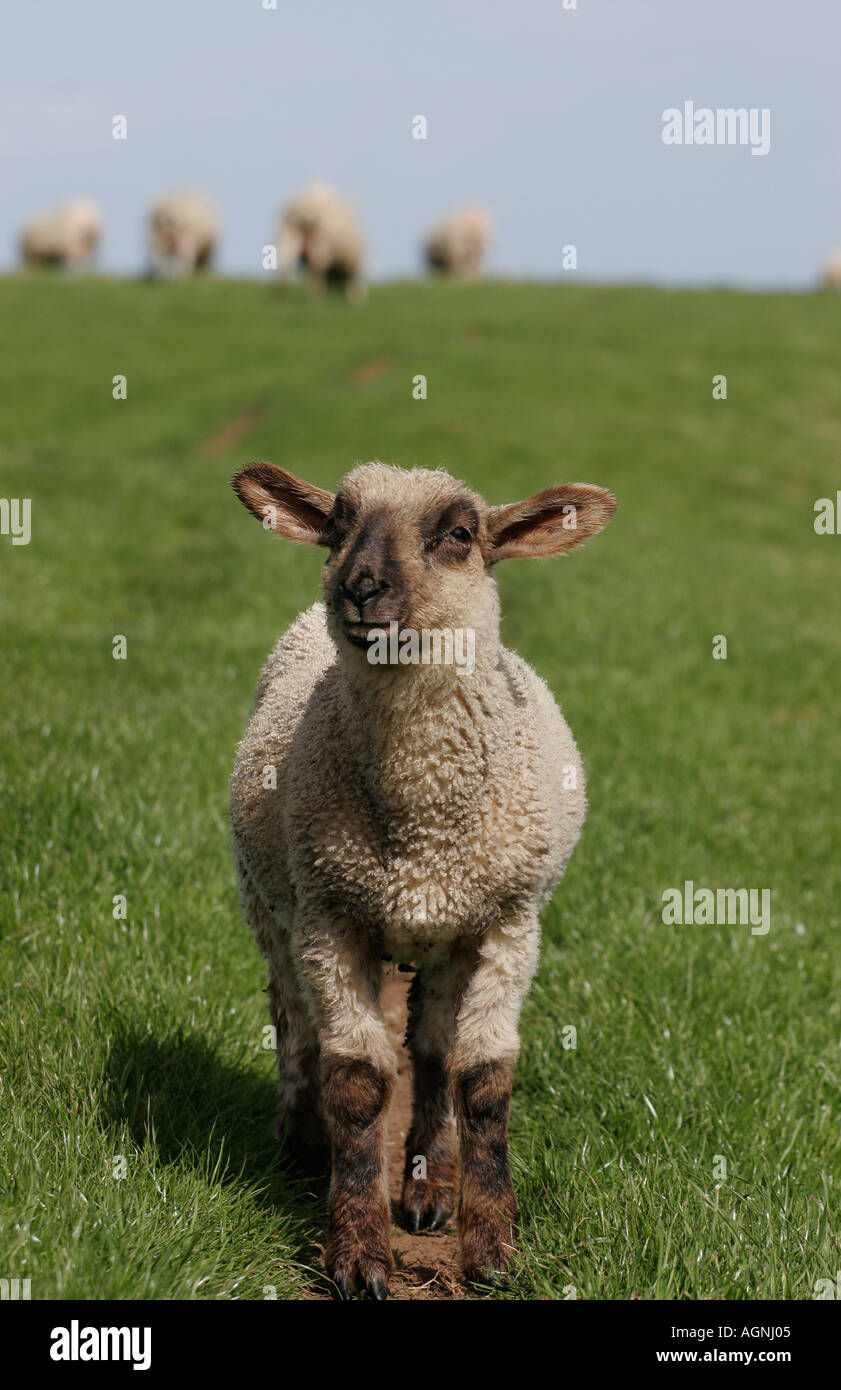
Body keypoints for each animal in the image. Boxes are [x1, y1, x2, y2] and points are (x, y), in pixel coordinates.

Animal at [229, 459, 615, 1298]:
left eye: (458, 534)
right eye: (339, 523)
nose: (360, 587)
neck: (421, 820)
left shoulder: (508, 926)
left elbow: (483, 1078)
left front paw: (491, 1245)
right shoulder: (330, 920)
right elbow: (355, 1079)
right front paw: (356, 1250)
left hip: (449, 937)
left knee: (433, 1053)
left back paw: (429, 1184)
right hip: (273, 907)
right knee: (292, 1022)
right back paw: (302, 1144)